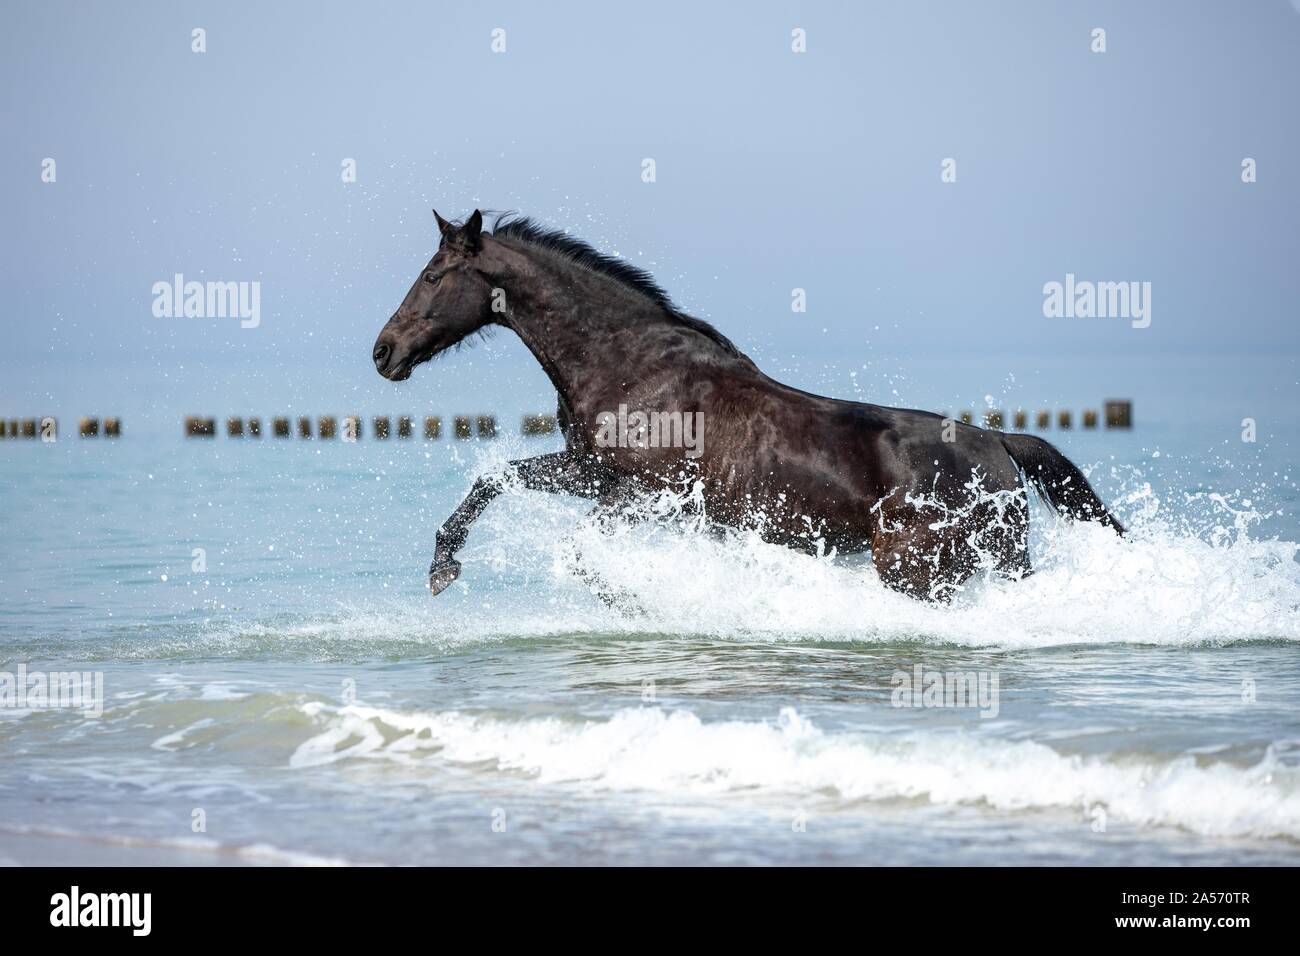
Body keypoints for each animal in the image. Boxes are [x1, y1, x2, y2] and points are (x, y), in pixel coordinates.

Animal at [372, 210, 1123, 602]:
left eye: (433, 276)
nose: (383, 352)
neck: (630, 366)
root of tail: (1000, 446)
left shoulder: (645, 493)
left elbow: (581, 551)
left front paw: (632, 602)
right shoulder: (592, 473)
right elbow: (494, 479)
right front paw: (442, 568)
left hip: (918, 566)